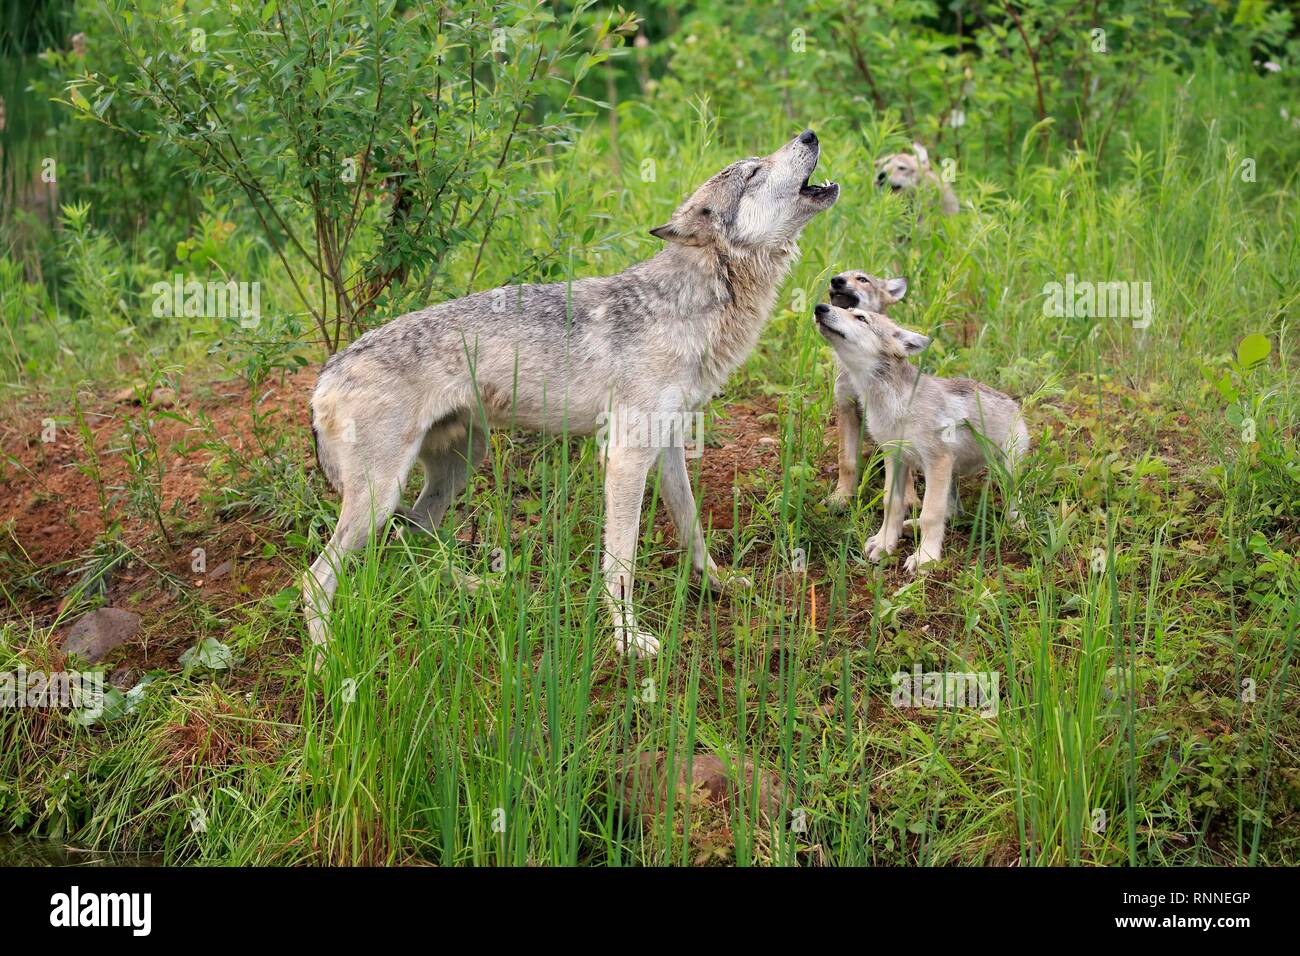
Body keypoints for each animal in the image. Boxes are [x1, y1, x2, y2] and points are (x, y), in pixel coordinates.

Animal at [304, 130, 839, 664]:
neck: (694, 304)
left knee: (410, 537)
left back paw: (476, 586)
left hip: (459, 465)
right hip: (381, 495)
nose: (810, 134)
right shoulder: (624, 458)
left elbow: (693, 530)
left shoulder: (668, 448)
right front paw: (627, 638)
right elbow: (621, 563)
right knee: (316, 579)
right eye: (753, 171)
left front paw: (717, 585)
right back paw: (328, 658)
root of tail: (326, 373)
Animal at [814, 302, 1027, 573]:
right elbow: (891, 504)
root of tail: (1014, 403)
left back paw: (1017, 526)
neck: (892, 400)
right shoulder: (895, 458)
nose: (820, 307)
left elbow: (931, 514)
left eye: (861, 318)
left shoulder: (937, 460)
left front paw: (926, 558)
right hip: (948, 474)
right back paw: (910, 526)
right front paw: (884, 544)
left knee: (1011, 501)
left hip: (1005, 469)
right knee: (954, 512)